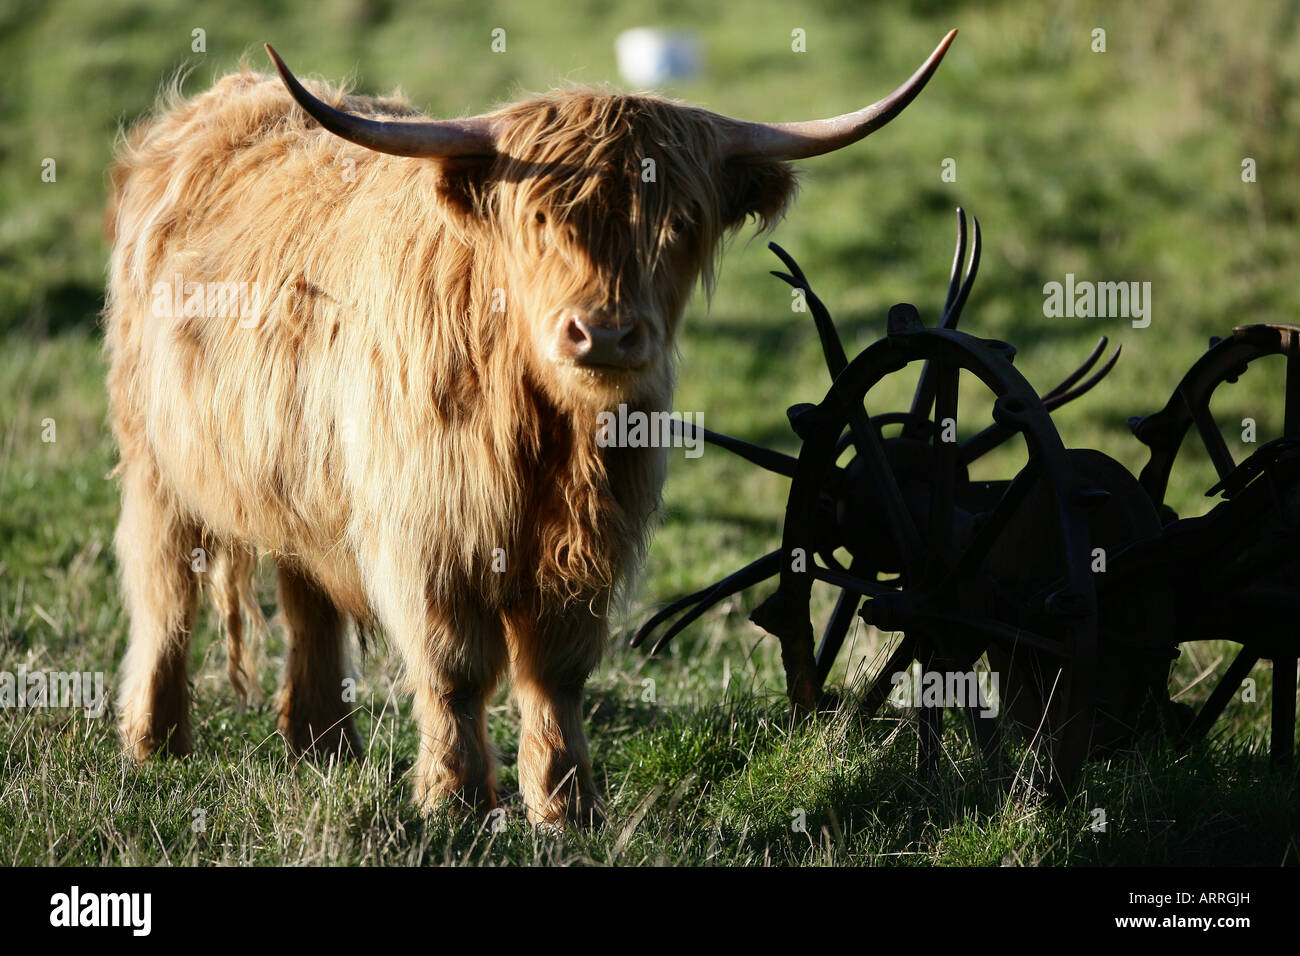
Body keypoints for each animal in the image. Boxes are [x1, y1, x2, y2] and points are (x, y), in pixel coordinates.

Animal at [104, 31, 955, 827]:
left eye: (681, 221)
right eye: (541, 215)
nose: (605, 334)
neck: (549, 431)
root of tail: (215, 103)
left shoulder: (590, 545)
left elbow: (555, 671)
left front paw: (566, 805)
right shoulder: (431, 535)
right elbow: (455, 670)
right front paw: (452, 801)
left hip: (298, 476)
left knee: (305, 591)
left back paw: (323, 745)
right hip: (153, 462)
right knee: (164, 594)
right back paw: (156, 744)